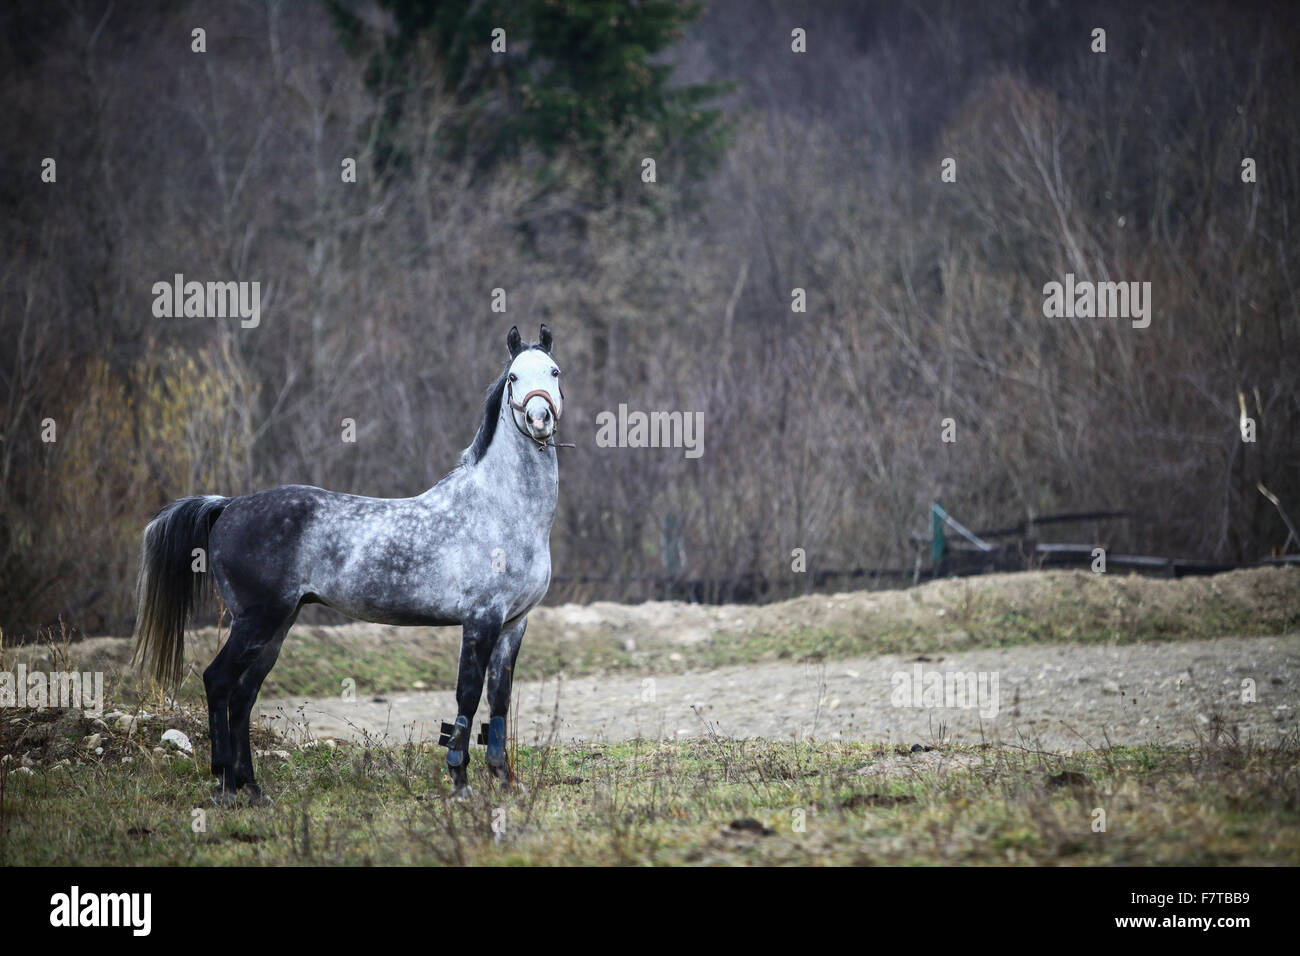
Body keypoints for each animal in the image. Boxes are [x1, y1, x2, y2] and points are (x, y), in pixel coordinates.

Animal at [132, 324, 564, 804]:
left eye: (554, 371)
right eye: (513, 378)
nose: (540, 419)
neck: (499, 510)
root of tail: (227, 505)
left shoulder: (514, 624)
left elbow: (499, 700)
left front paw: (506, 781)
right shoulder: (480, 621)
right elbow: (467, 700)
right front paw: (460, 784)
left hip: (278, 624)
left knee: (243, 695)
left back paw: (254, 789)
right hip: (256, 621)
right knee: (218, 681)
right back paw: (226, 785)